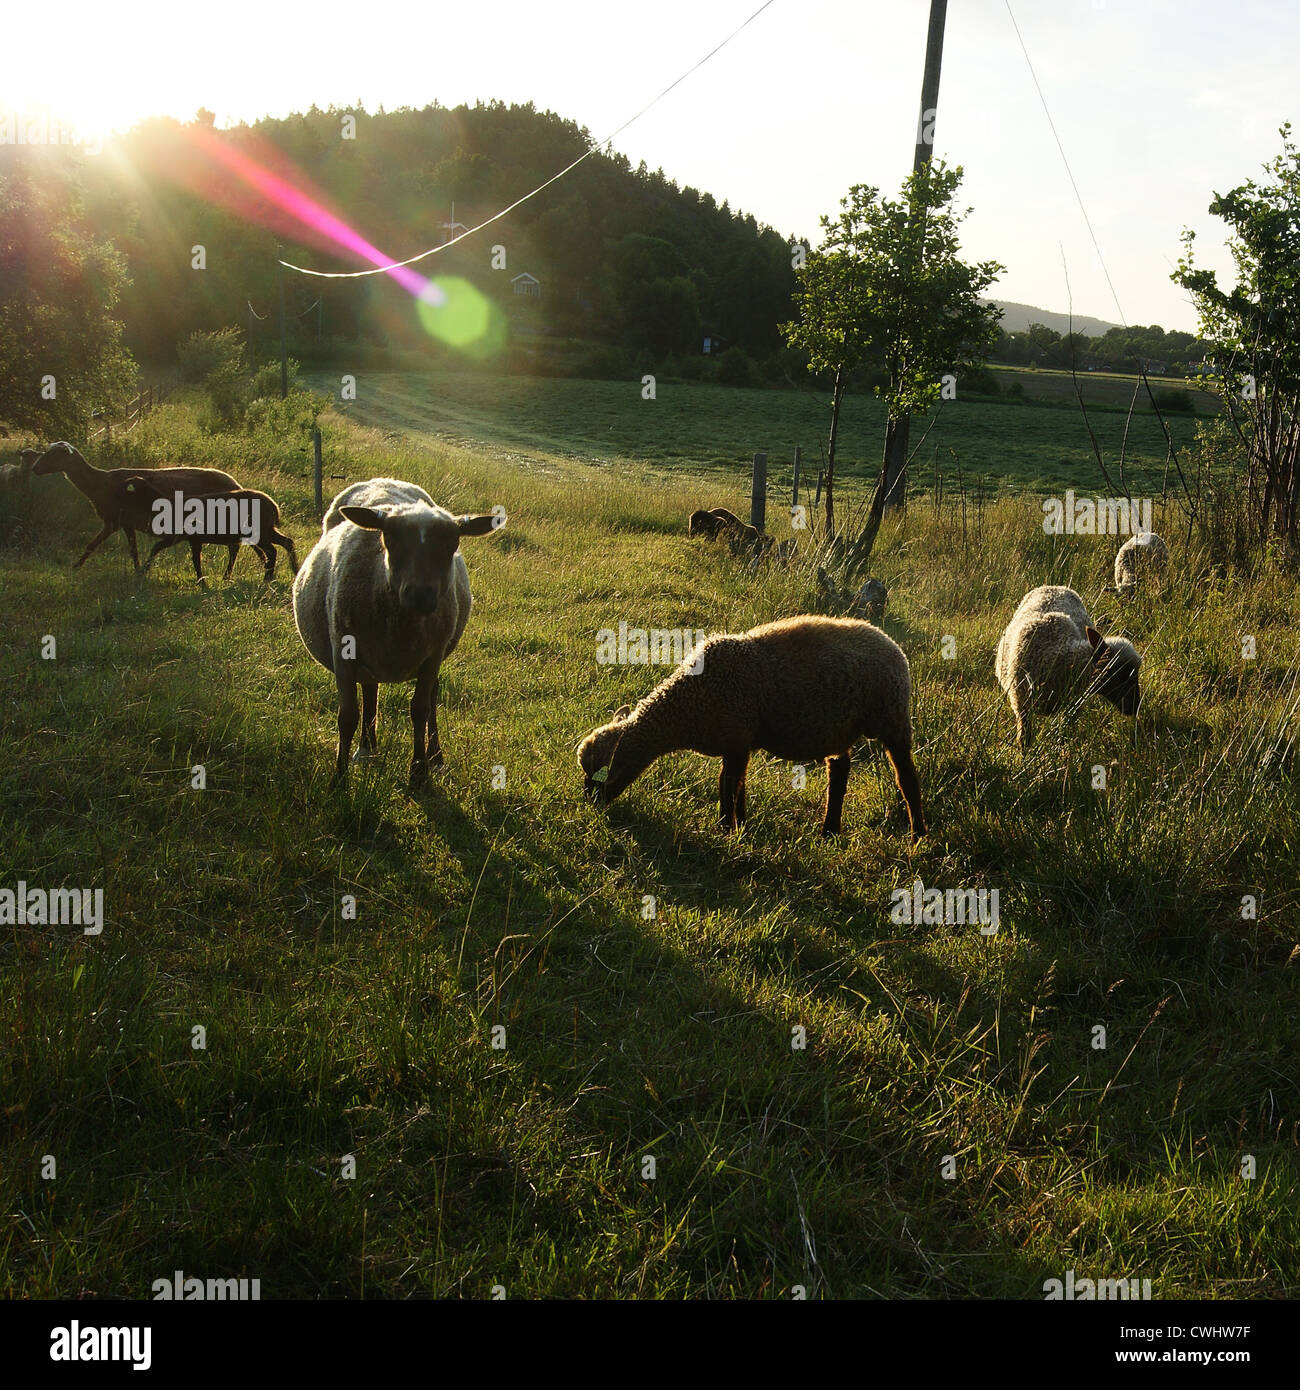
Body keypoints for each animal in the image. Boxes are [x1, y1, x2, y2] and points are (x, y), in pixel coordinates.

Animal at [31, 442, 240, 569]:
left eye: (54, 454)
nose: (34, 467)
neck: (99, 483)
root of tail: (236, 483)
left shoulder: (116, 521)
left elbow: (100, 546)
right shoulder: (123, 523)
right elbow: (114, 547)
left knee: (234, 546)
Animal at [120, 474, 299, 583]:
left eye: (129, 493)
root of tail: (273, 505)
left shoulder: (178, 536)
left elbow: (157, 548)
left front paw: (143, 570)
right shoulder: (193, 539)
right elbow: (195, 559)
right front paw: (201, 581)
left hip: (259, 531)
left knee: (271, 551)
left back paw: (268, 577)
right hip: (268, 530)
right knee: (287, 542)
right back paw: (294, 570)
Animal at [292, 477, 501, 787]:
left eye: (453, 542)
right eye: (389, 538)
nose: (420, 595)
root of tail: (383, 480)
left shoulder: (433, 654)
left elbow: (420, 709)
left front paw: (419, 772)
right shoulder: (342, 648)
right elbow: (347, 716)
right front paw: (339, 778)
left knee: (431, 696)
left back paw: (435, 756)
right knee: (370, 688)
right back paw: (367, 747)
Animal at [578, 614, 926, 841]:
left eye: (601, 768)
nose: (591, 804)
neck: (686, 705)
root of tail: (892, 644)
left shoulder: (736, 739)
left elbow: (728, 786)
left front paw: (726, 830)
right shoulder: (737, 744)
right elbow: (736, 786)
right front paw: (739, 827)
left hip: (893, 719)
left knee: (907, 778)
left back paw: (917, 834)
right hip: (838, 730)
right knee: (839, 775)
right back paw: (829, 831)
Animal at [995, 584, 1142, 749]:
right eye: (1117, 674)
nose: (1135, 706)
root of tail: (1053, 586)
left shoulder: (1072, 706)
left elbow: (1064, 736)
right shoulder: (1022, 706)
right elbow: (1024, 741)